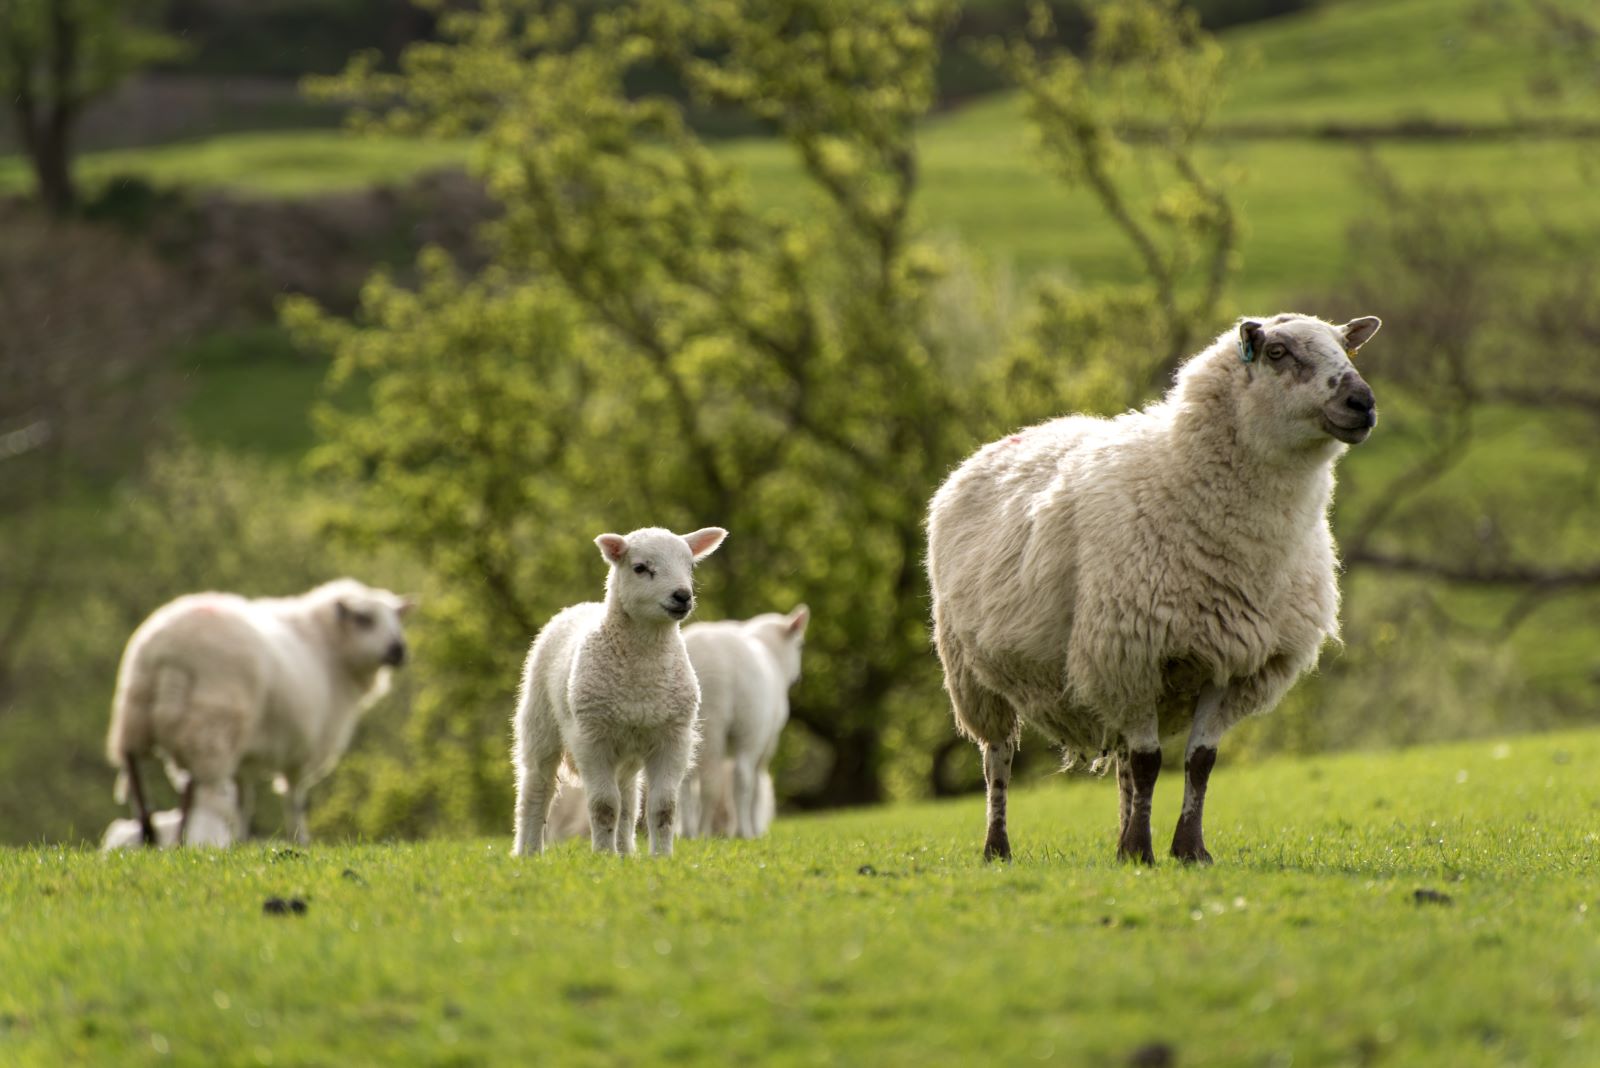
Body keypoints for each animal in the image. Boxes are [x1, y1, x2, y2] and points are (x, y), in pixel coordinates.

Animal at [106, 579, 413, 846]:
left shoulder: (247, 758)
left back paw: (150, 835)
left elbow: (245, 800)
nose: (398, 650)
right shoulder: (300, 749)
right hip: (211, 722)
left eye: (397, 618)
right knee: (197, 787)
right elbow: (294, 798)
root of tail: (170, 650)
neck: (328, 646)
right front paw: (300, 839)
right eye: (364, 618)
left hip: (136, 709)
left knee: (134, 767)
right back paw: (178, 840)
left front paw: (241, 841)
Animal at [511, 526, 728, 858]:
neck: (642, 672)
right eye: (640, 568)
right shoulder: (591, 739)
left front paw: (661, 857)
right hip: (540, 720)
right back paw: (529, 852)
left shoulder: (673, 738)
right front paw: (602, 856)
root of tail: (581, 606)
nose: (682, 596)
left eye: (690, 566)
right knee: (536, 787)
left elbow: (663, 807)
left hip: (627, 748)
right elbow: (603, 806)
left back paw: (625, 852)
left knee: (627, 799)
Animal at [678, 605, 809, 839]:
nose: (797, 678)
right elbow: (758, 780)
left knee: (688, 778)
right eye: (800, 645)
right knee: (736, 777)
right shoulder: (769, 739)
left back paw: (689, 832)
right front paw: (757, 828)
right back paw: (736, 831)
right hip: (739, 723)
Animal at [926, 313, 1381, 865]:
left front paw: (1188, 851)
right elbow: (1149, 763)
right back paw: (998, 848)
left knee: (1121, 760)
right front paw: (1145, 852)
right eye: (1277, 352)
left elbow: (1199, 761)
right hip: (970, 672)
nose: (1363, 402)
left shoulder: (1230, 660)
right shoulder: (1130, 654)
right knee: (998, 759)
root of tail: (1002, 442)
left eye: (1346, 349)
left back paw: (1121, 841)